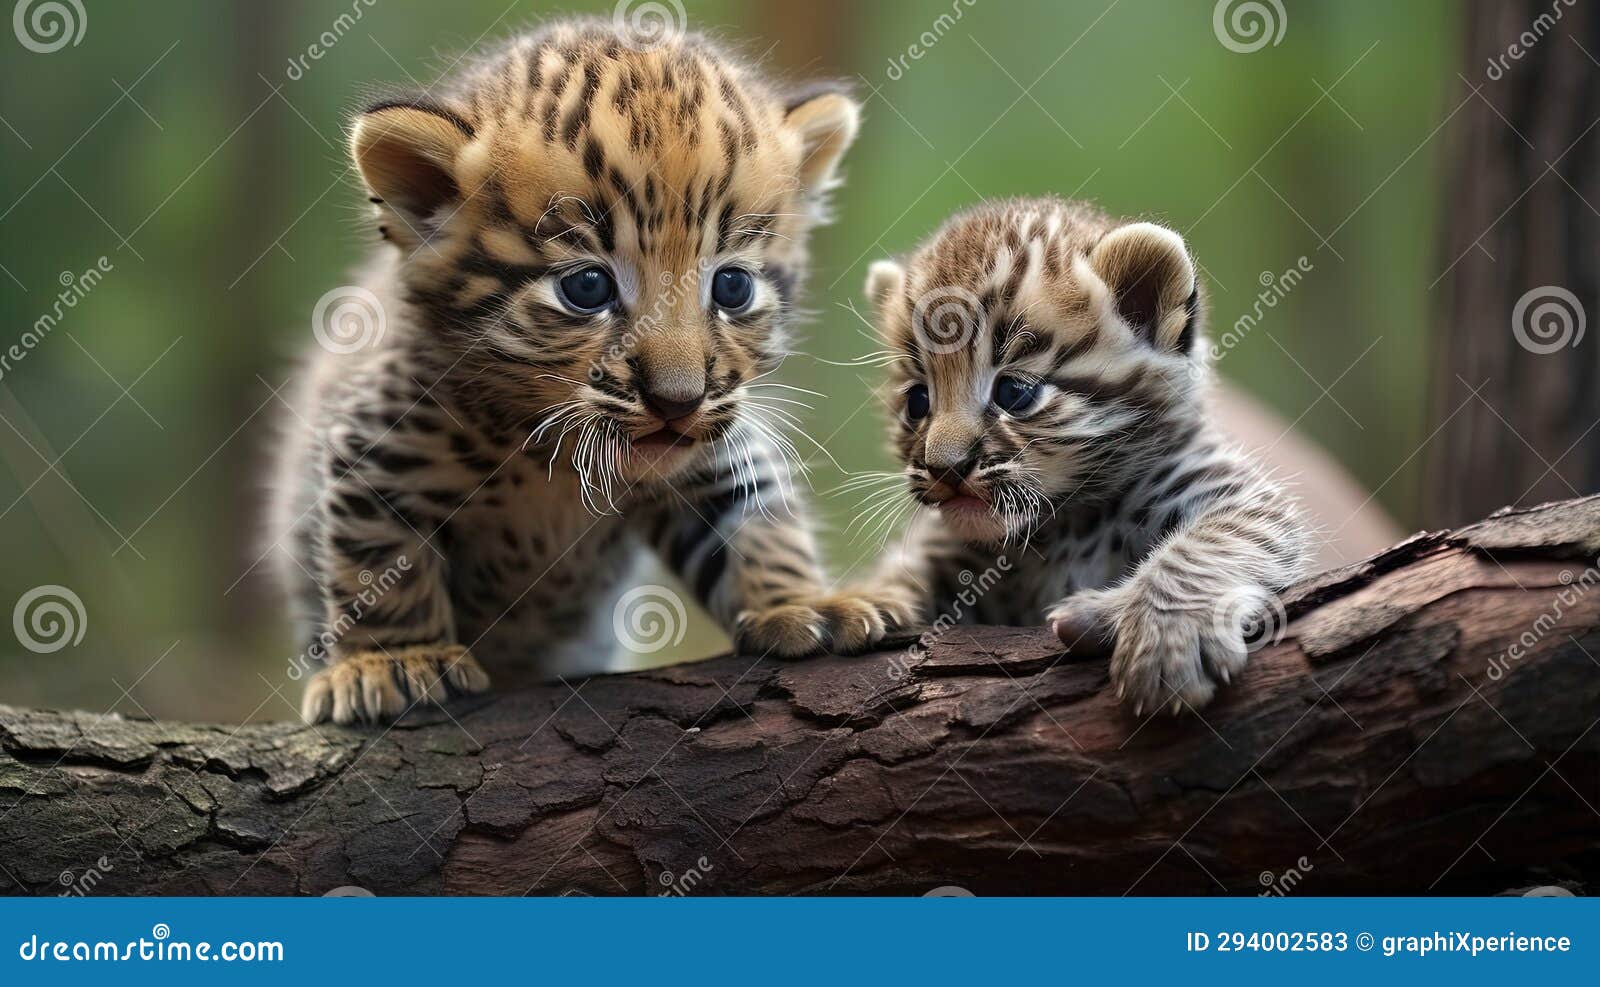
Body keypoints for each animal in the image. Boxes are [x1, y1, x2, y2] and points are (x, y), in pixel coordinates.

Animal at [266, 18, 912, 725]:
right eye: (587, 288)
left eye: (733, 286)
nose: (677, 400)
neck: (547, 456)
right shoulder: (377, 453)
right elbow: (379, 559)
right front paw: (395, 660)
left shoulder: (716, 456)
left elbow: (761, 524)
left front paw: (802, 603)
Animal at [861, 197, 1312, 715]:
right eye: (918, 401)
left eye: (1014, 392)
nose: (945, 467)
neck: (1063, 527)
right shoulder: (953, 547)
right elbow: (908, 567)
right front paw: (859, 602)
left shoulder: (1231, 491)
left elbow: (1211, 541)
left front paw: (1166, 637)